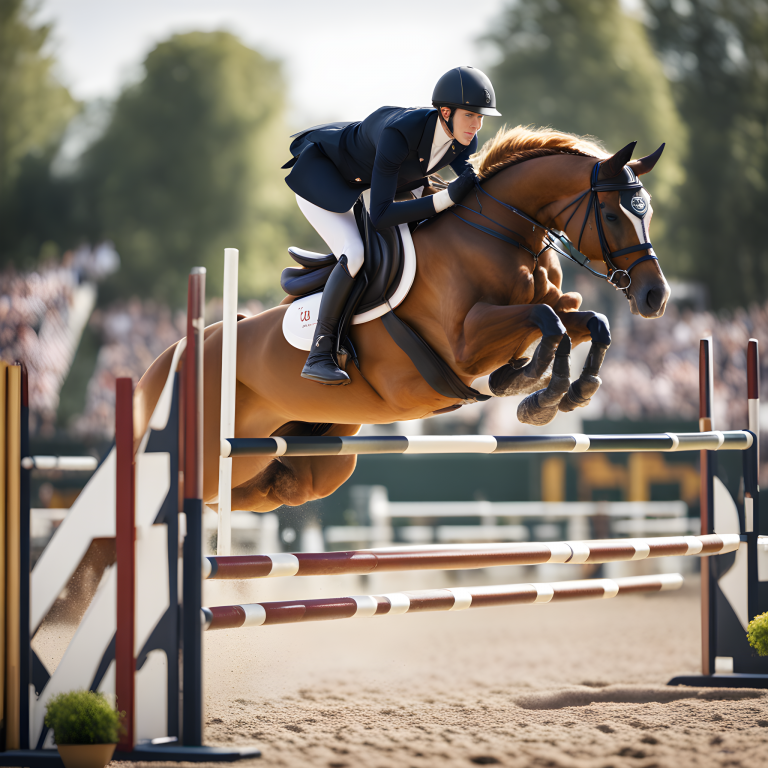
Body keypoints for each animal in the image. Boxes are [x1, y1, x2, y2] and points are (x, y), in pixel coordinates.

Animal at [133, 126, 670, 513]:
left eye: (646, 212)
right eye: (612, 213)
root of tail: (164, 360)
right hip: (207, 453)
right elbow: (546, 320)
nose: (655, 297)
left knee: (257, 492)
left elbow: (587, 320)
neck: (500, 232)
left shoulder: (543, 309)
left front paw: (566, 392)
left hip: (299, 464)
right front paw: (532, 386)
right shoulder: (464, 343)